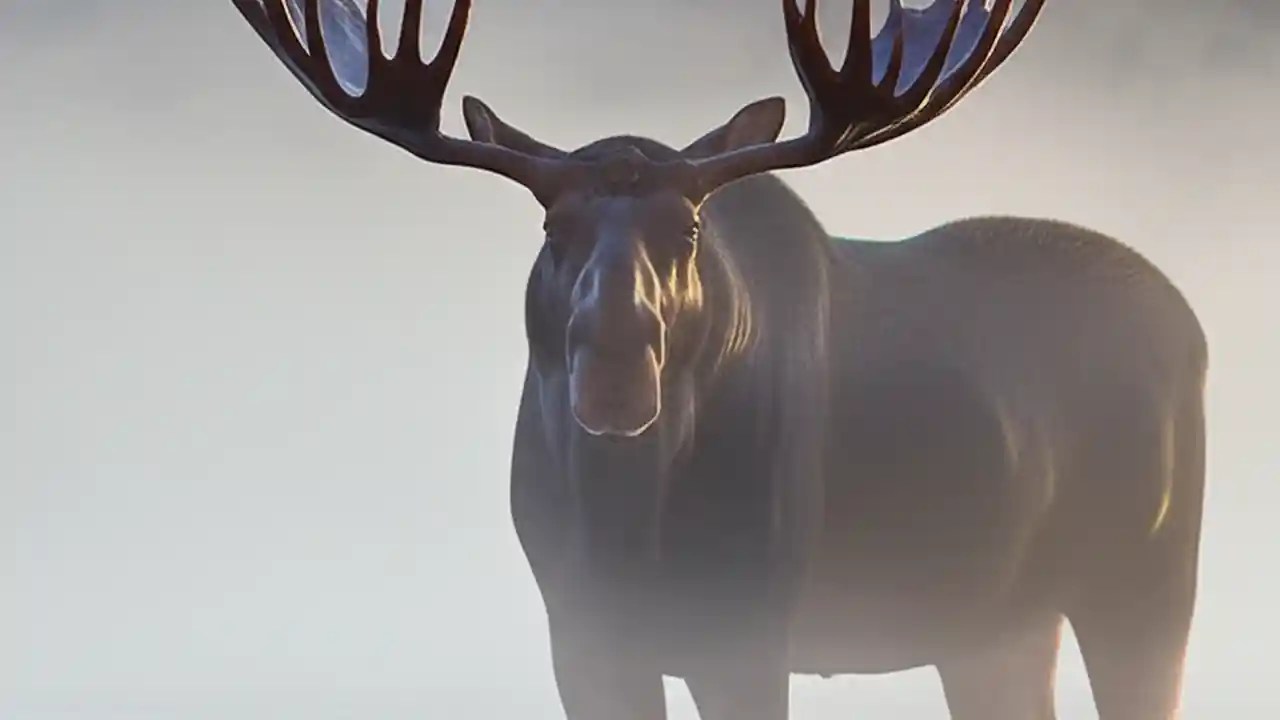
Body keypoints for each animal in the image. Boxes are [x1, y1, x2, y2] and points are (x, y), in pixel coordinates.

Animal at [227, 1, 1208, 718]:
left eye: (690, 227)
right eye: (552, 225)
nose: (615, 367)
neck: (627, 521)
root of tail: (1190, 327)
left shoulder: (747, 629)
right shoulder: (582, 634)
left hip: (1147, 582)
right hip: (996, 622)